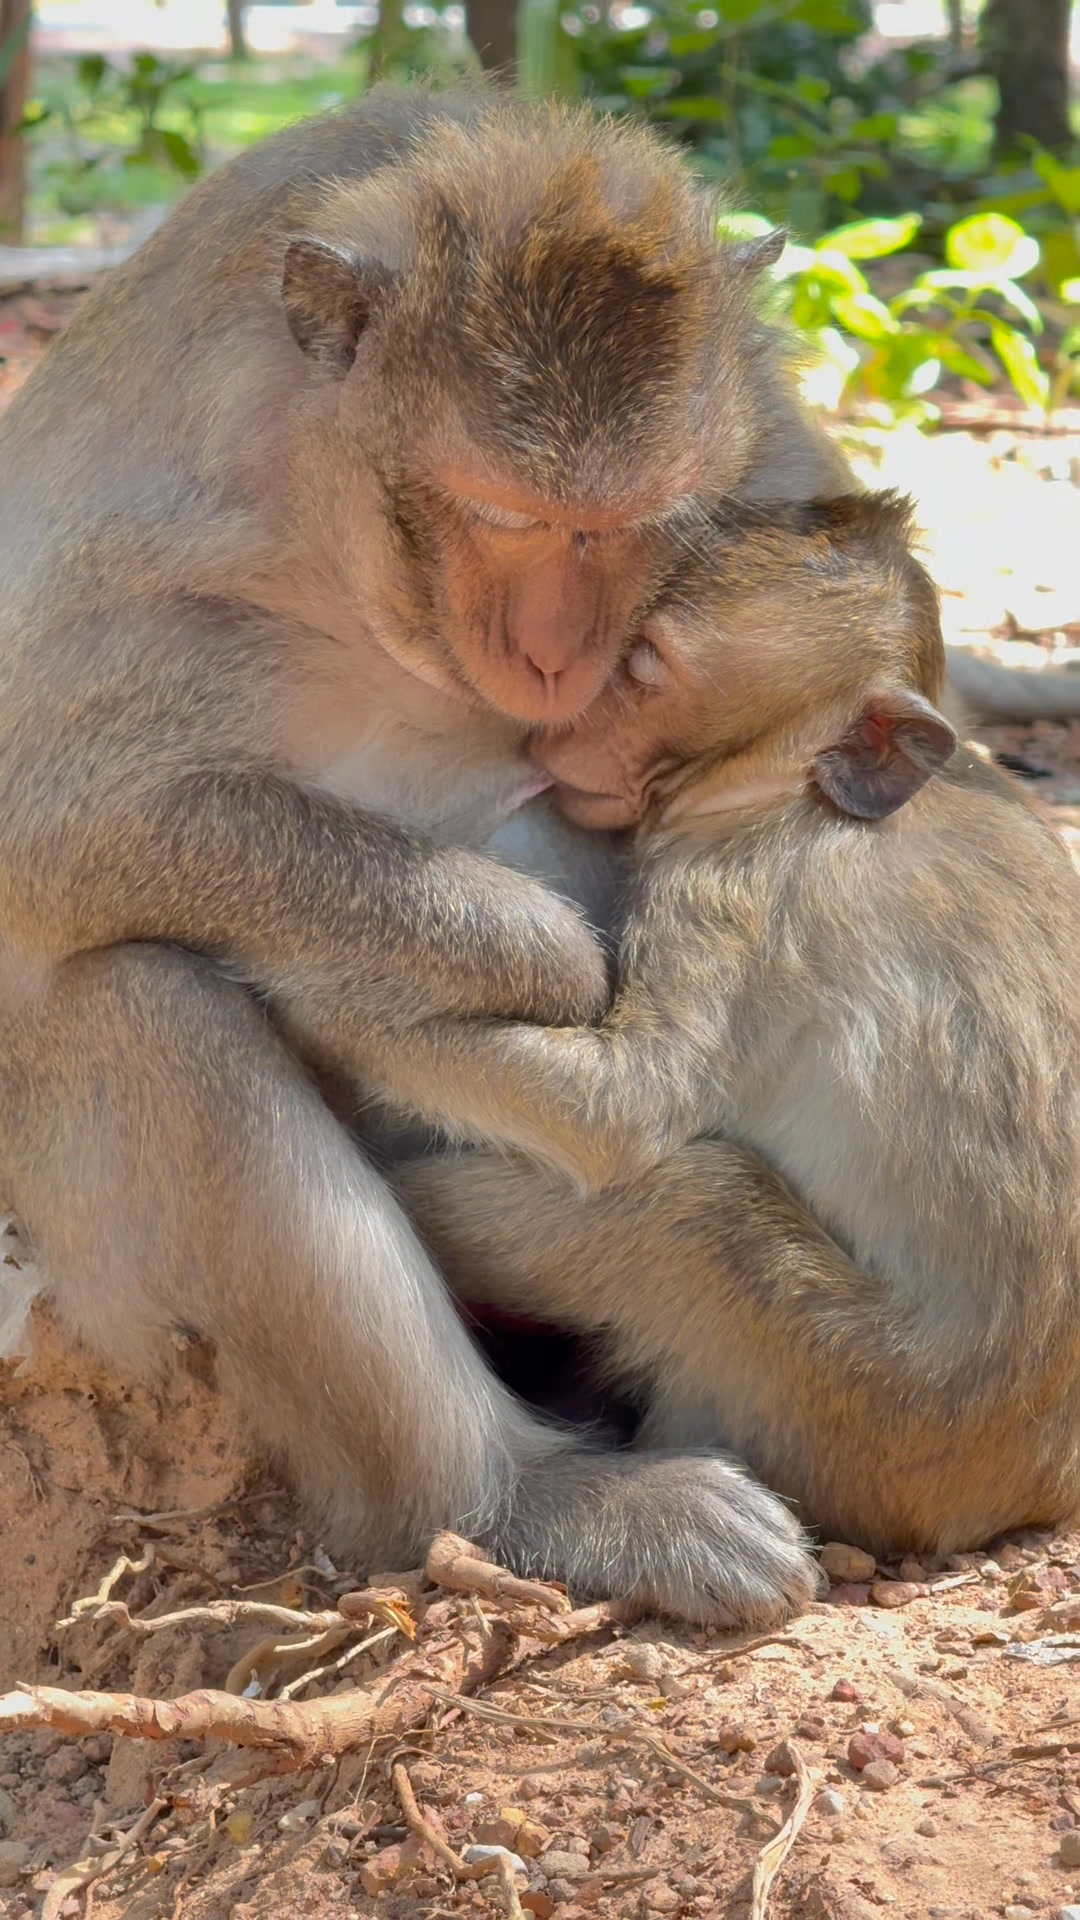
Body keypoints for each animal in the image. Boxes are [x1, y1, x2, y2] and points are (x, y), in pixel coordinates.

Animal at [0, 81, 870, 1629]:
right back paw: (514, 1501)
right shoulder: (149, 518)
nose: (558, 656)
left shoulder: (770, 449)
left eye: (633, 526)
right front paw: (538, 955)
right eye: (510, 516)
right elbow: (42, 824)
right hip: (92, 1267)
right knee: (143, 1001)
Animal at [383, 490, 1080, 1563]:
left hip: (854, 1405)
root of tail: (1025, 1497)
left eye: (642, 667)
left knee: (698, 1202)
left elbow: (620, 1113)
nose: (558, 732)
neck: (795, 787)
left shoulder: (727, 891)